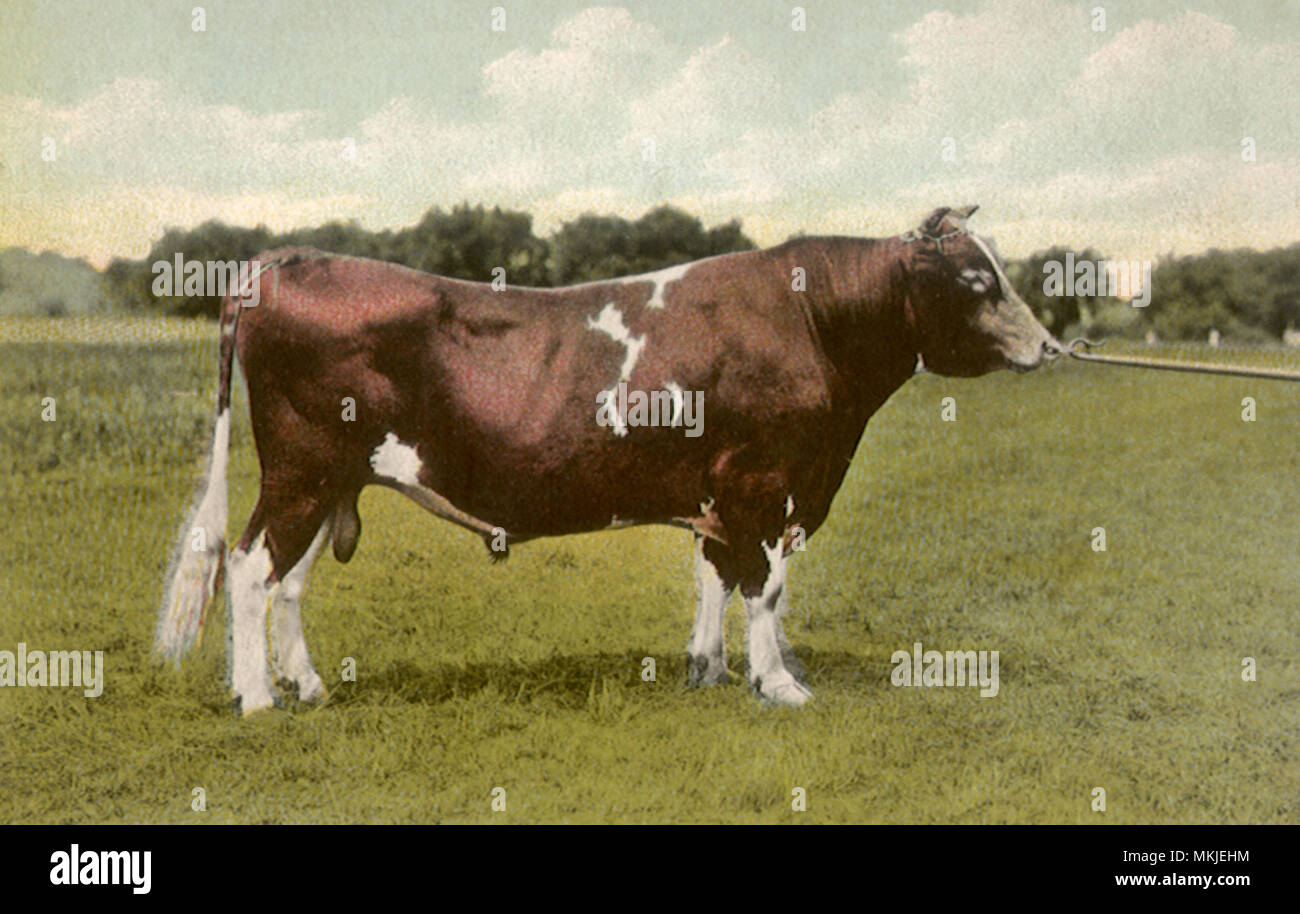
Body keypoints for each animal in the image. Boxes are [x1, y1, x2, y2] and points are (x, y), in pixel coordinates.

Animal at [155, 205, 1061, 714]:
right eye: (978, 282)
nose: (1051, 348)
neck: (813, 320)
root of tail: (288, 259)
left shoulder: (721, 494)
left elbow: (715, 578)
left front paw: (709, 671)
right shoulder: (769, 483)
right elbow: (765, 589)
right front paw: (781, 686)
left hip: (331, 479)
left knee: (288, 583)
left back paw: (305, 685)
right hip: (302, 471)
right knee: (250, 570)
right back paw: (258, 700)